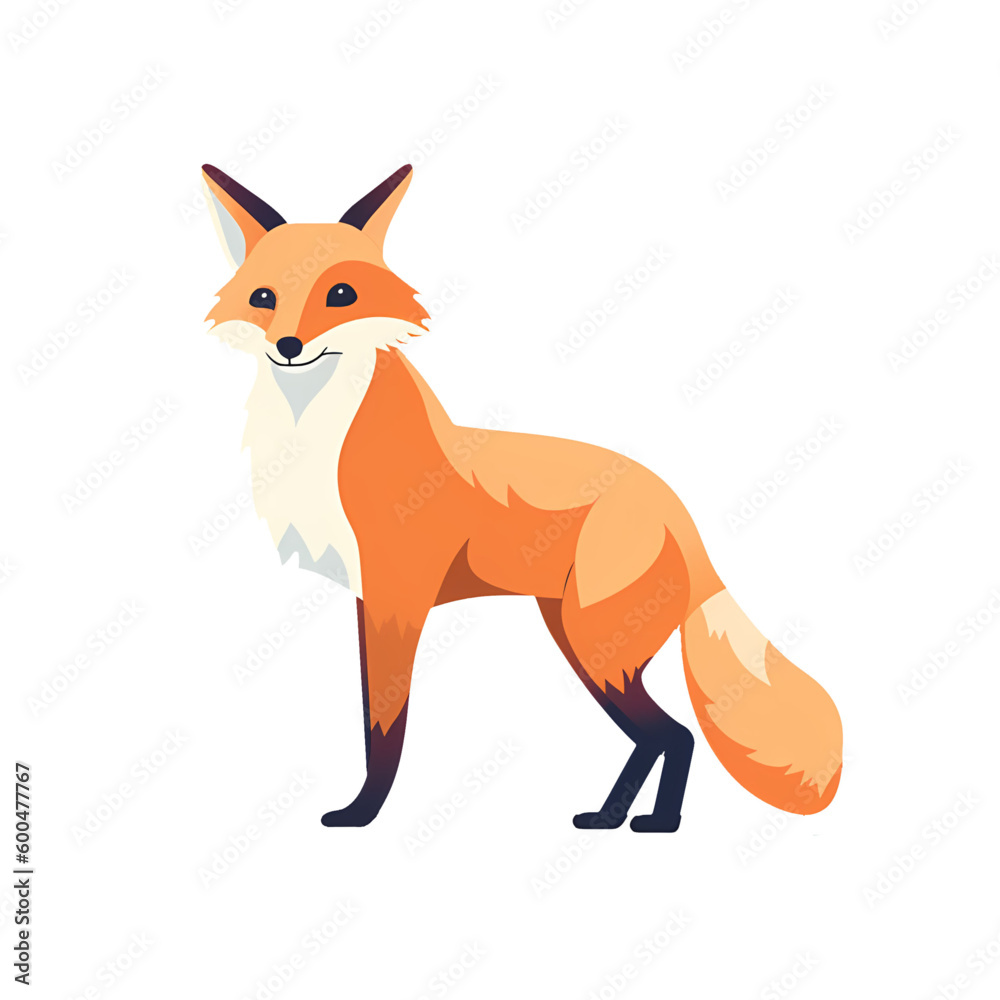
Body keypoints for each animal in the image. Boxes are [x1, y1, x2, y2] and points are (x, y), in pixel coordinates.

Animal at [201, 162, 843, 832]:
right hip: (581, 644)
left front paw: (363, 813)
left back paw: (658, 824)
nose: (289, 346)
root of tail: (677, 510)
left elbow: (384, 730)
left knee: (677, 734)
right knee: (659, 736)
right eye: (265, 299)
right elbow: (371, 716)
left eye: (342, 294)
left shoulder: (397, 601)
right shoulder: (367, 602)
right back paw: (613, 817)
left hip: (597, 650)